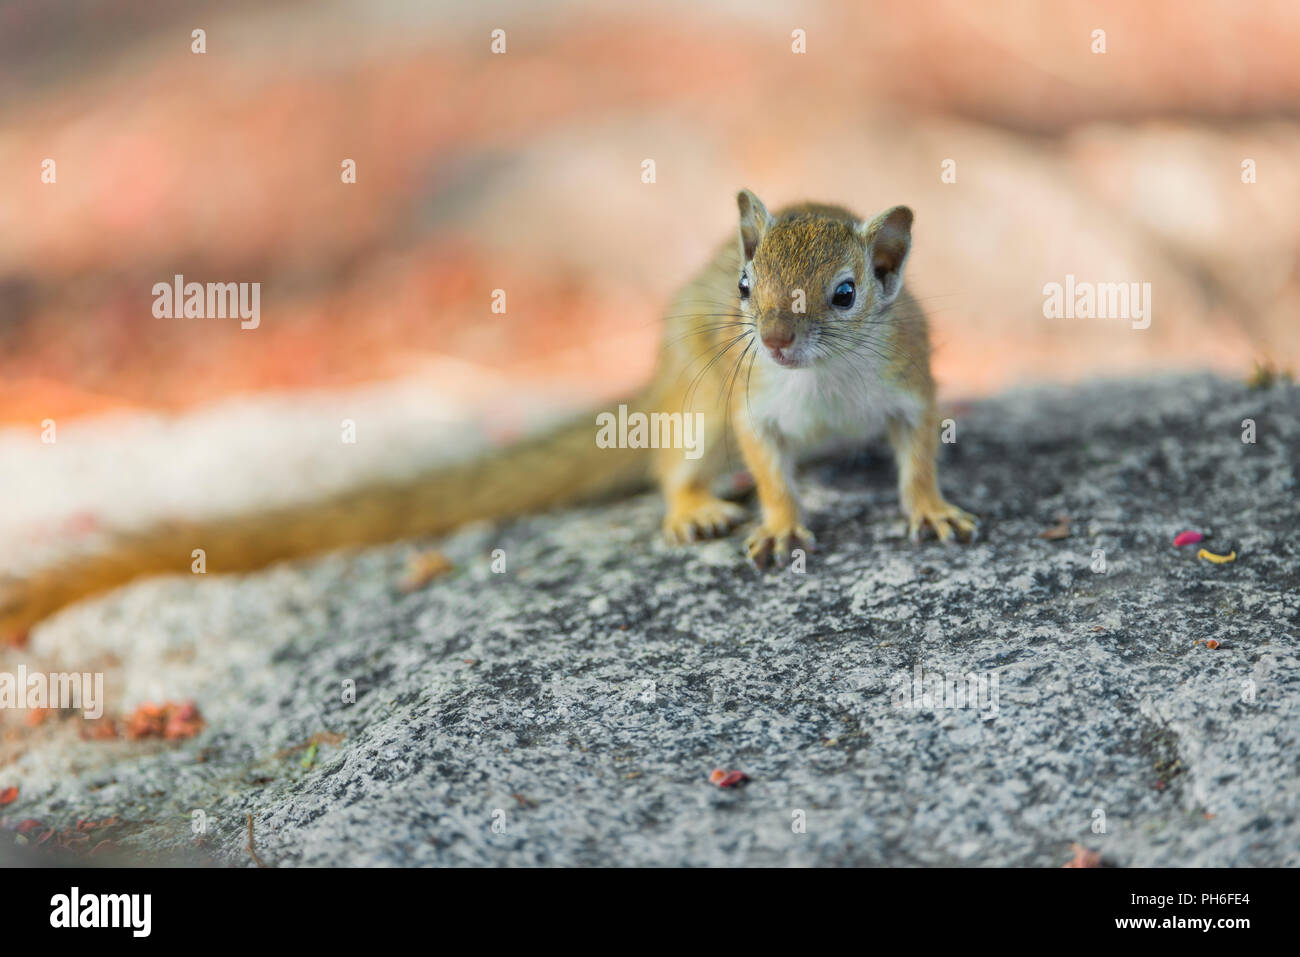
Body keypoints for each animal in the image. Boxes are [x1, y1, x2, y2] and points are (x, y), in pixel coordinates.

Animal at [0, 189, 975, 643]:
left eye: (845, 293)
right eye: (746, 286)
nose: (770, 339)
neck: (823, 385)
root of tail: (653, 381)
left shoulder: (911, 380)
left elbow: (920, 450)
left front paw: (929, 505)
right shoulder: (752, 407)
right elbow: (770, 463)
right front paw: (777, 518)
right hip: (698, 400)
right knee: (673, 462)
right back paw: (694, 505)